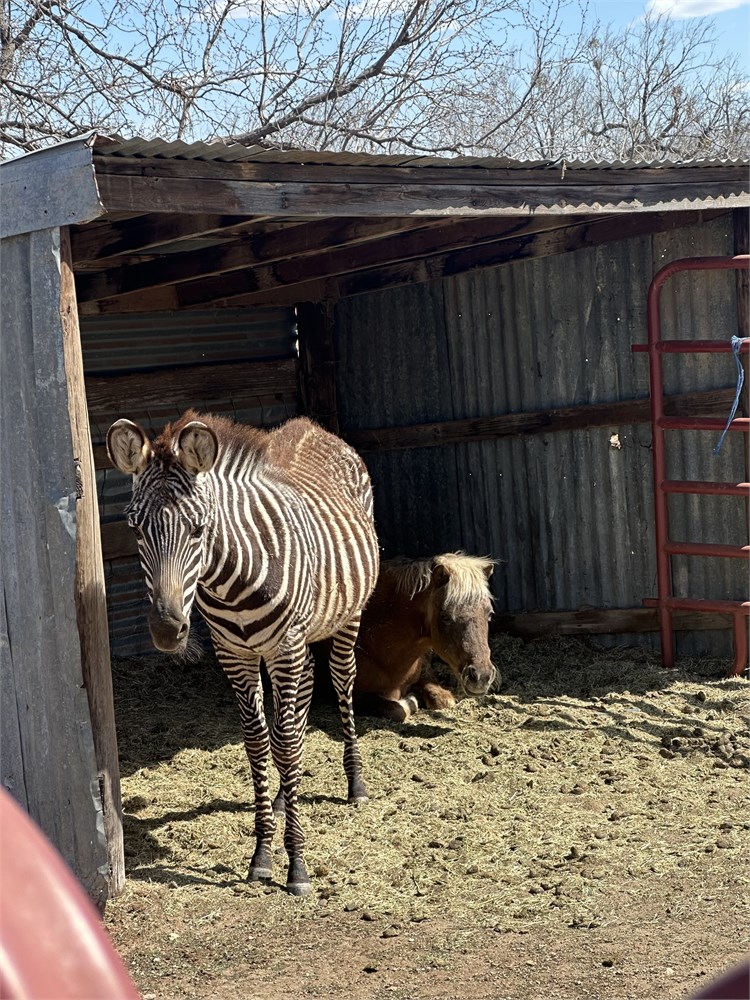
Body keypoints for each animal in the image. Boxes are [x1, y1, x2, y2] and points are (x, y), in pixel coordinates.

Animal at [107, 410, 379, 895]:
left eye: (198, 529)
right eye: (135, 528)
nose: (167, 630)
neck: (231, 580)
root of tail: (313, 426)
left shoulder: (284, 646)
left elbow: (284, 741)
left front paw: (297, 864)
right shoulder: (233, 653)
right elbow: (257, 742)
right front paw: (263, 852)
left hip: (345, 616)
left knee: (341, 682)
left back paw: (355, 783)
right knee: (303, 697)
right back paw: (285, 792)